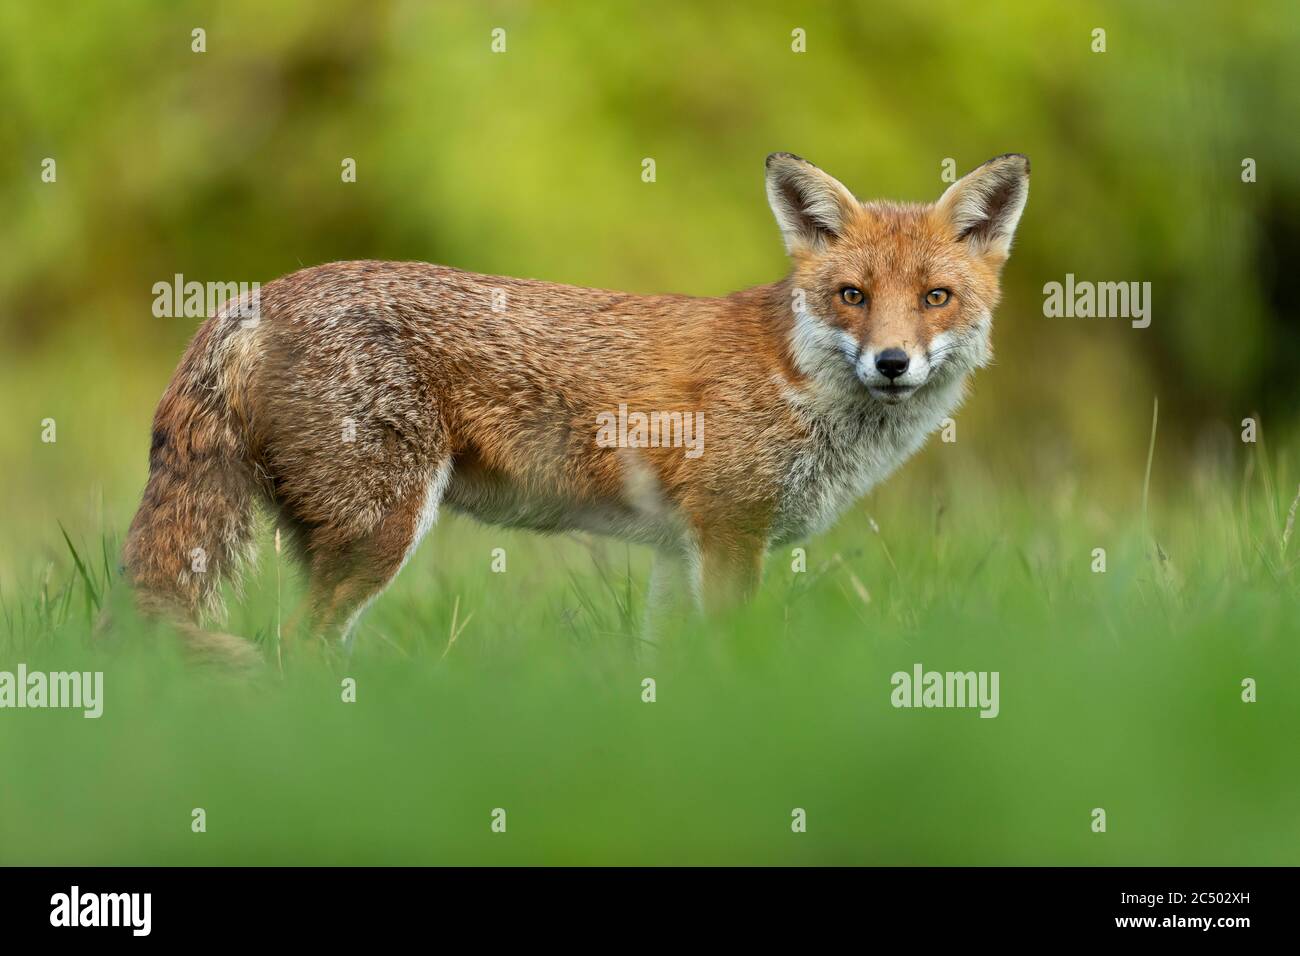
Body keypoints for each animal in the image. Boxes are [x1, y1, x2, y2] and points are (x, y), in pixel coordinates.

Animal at [122, 152, 1028, 666]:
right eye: (852, 296)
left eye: (936, 298)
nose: (892, 363)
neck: (797, 380)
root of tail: (251, 298)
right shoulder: (730, 534)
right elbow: (733, 656)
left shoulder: (680, 551)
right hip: (381, 533)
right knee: (292, 651)